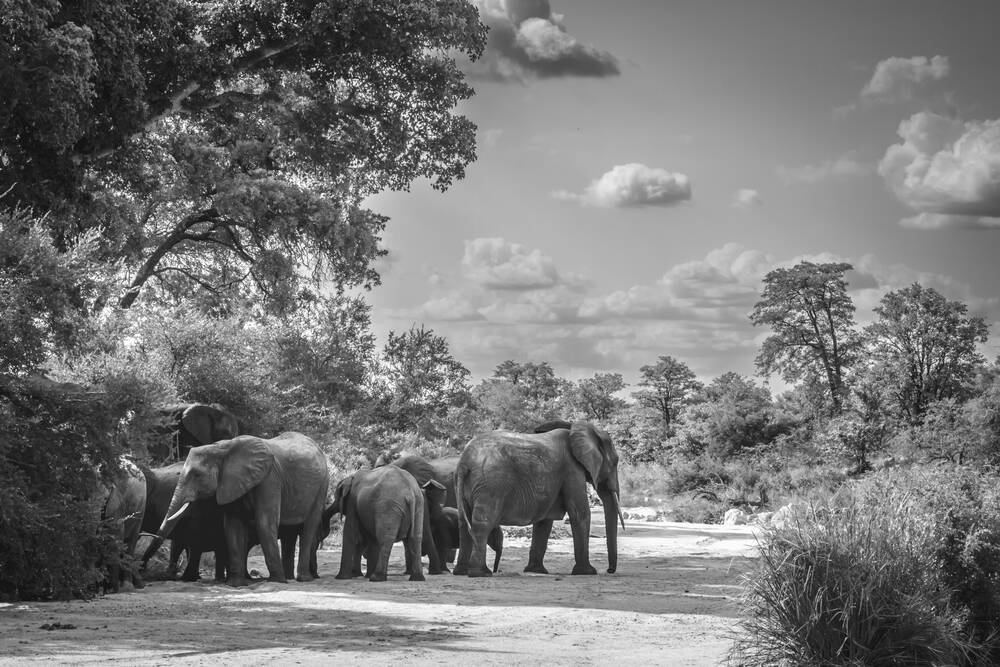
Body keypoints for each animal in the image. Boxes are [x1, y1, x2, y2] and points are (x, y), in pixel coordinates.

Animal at [156, 432, 329, 587]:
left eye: (197, 475)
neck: (222, 448)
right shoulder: (231, 483)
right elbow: (233, 526)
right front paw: (236, 584)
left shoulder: (269, 479)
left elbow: (264, 523)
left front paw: (277, 582)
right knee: (290, 532)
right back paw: (291, 578)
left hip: (322, 485)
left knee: (309, 526)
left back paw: (303, 579)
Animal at [453, 420, 626, 578]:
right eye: (615, 462)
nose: (609, 570)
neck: (577, 429)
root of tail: (464, 463)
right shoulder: (572, 469)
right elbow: (580, 513)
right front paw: (588, 572)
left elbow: (544, 522)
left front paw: (536, 571)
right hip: (491, 484)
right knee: (482, 524)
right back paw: (481, 573)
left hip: (466, 485)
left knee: (463, 523)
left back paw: (461, 572)